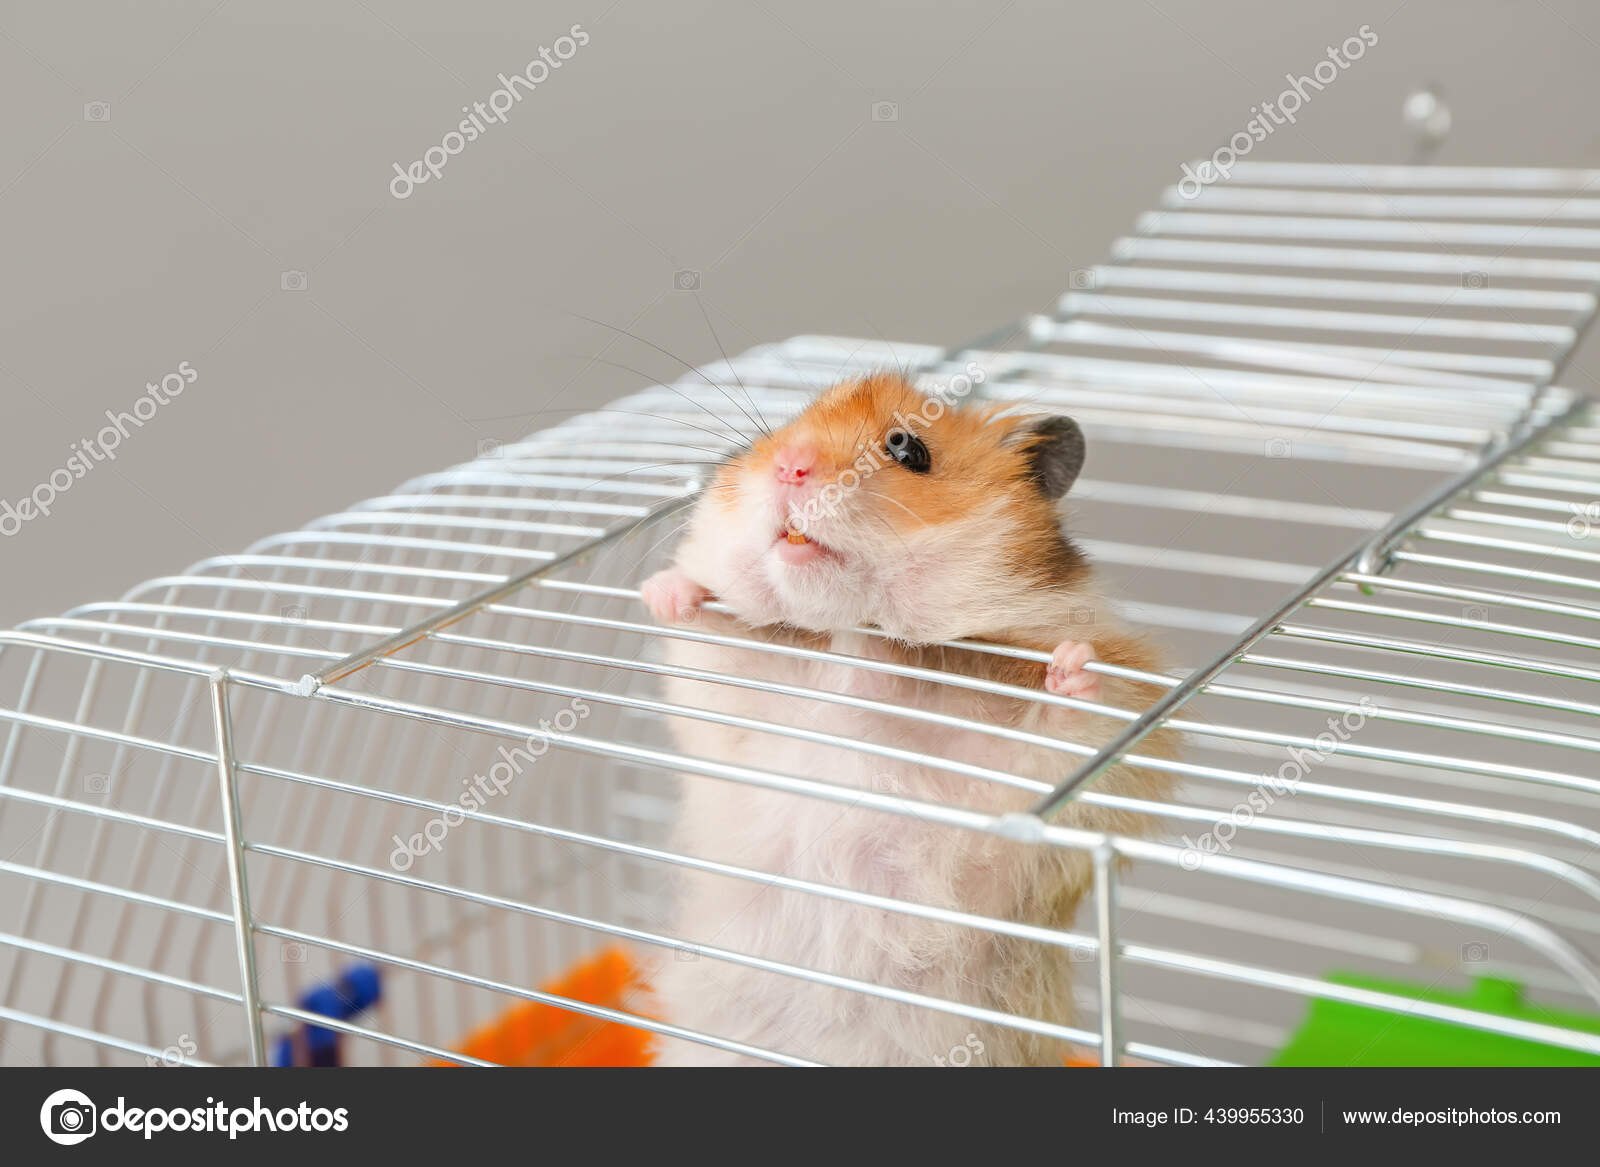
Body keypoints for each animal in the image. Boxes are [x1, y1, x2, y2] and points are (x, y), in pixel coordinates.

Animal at [635, 371, 1176, 1066]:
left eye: (907, 448)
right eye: (781, 429)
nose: (790, 466)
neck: (859, 641)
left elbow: (1062, 732)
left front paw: (1074, 667)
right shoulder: (739, 711)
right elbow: (713, 644)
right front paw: (669, 589)